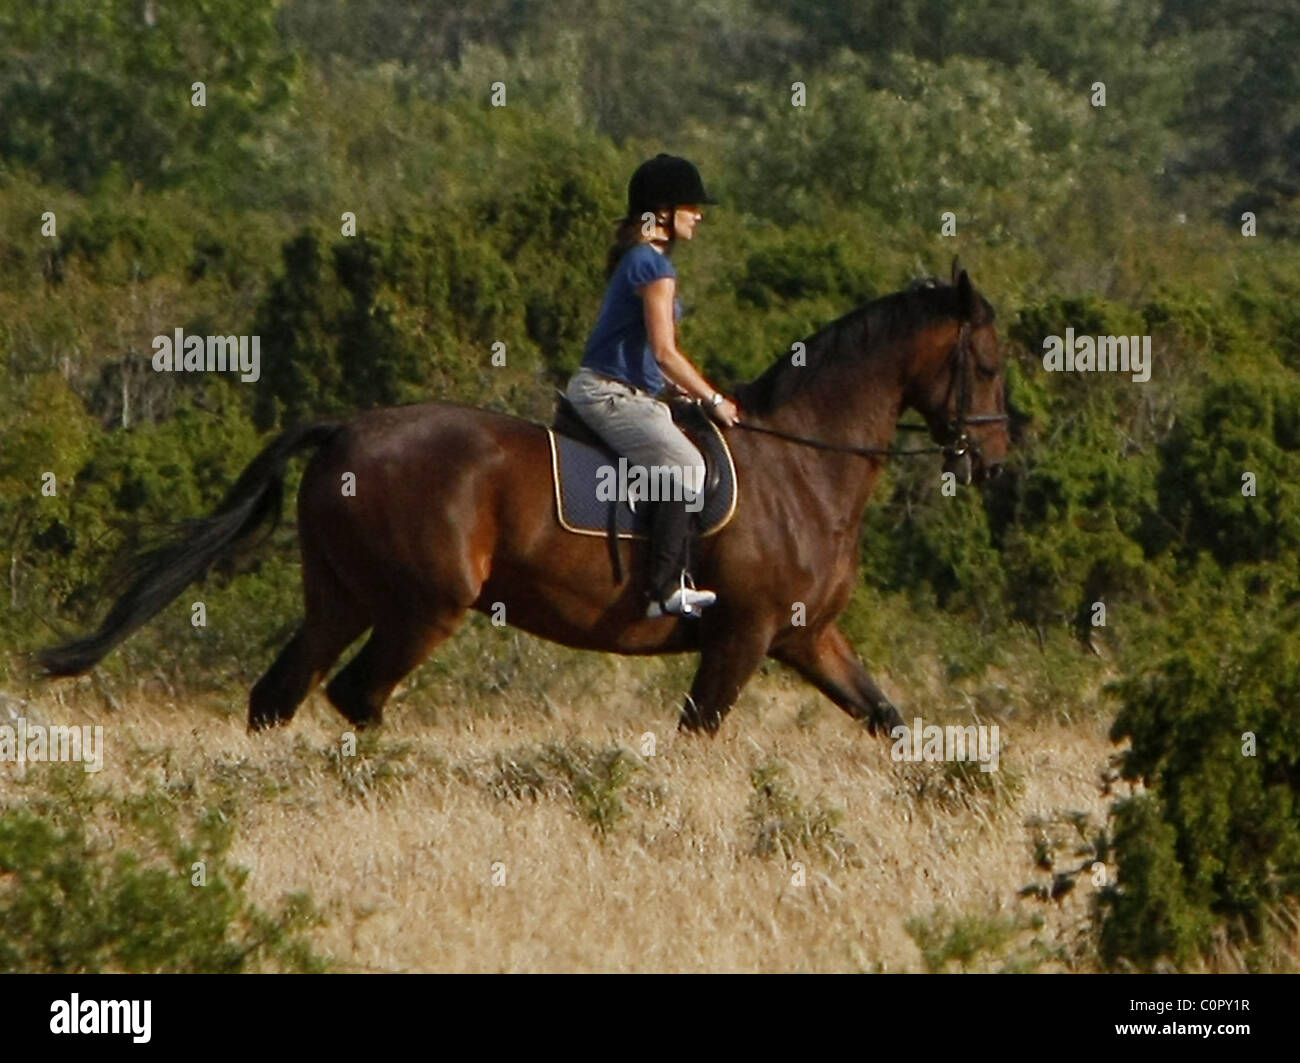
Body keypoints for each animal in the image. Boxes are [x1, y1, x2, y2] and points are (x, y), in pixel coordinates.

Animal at [38, 260, 1010, 737]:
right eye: (992, 363)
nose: (996, 463)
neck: (804, 466)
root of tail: (346, 430)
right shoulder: (745, 634)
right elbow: (698, 731)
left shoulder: (806, 635)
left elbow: (886, 719)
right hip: (424, 605)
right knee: (356, 695)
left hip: (341, 595)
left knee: (279, 695)